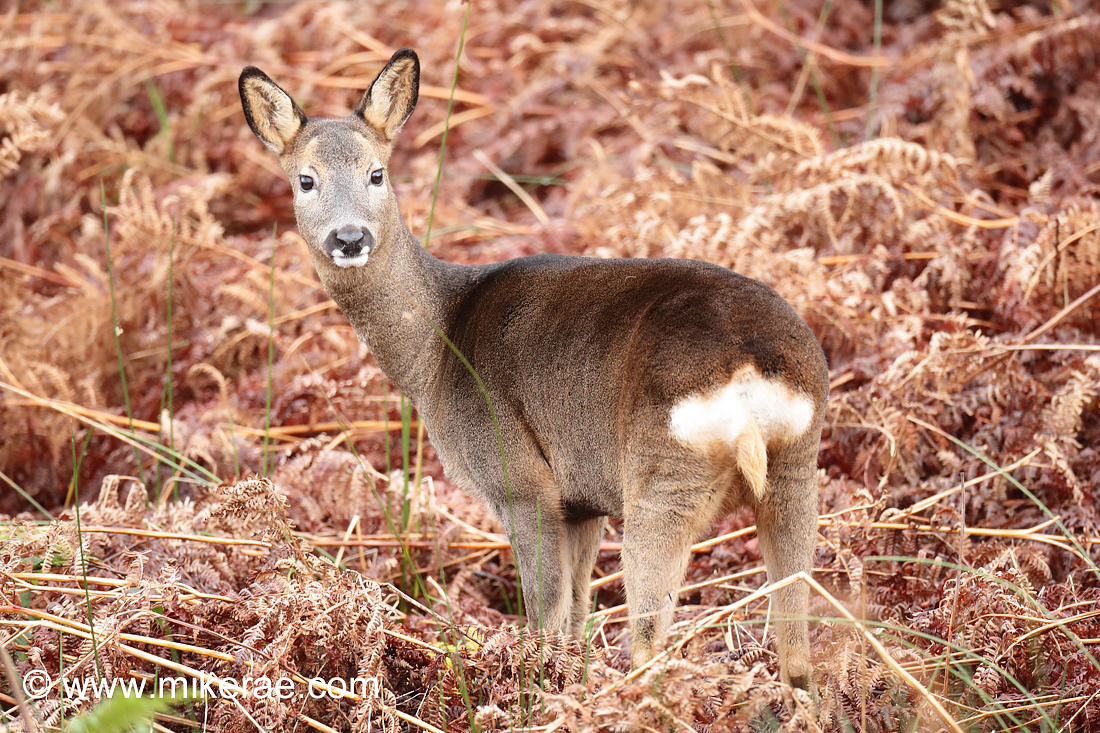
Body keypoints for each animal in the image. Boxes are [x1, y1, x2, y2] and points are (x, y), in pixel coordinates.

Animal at [239, 48, 828, 689]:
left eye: (376, 173)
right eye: (306, 179)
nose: (349, 237)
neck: (437, 346)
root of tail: (745, 366)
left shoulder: (521, 482)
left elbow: (546, 619)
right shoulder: (583, 500)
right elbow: (575, 616)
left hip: (663, 474)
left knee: (651, 644)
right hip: (797, 469)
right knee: (798, 643)